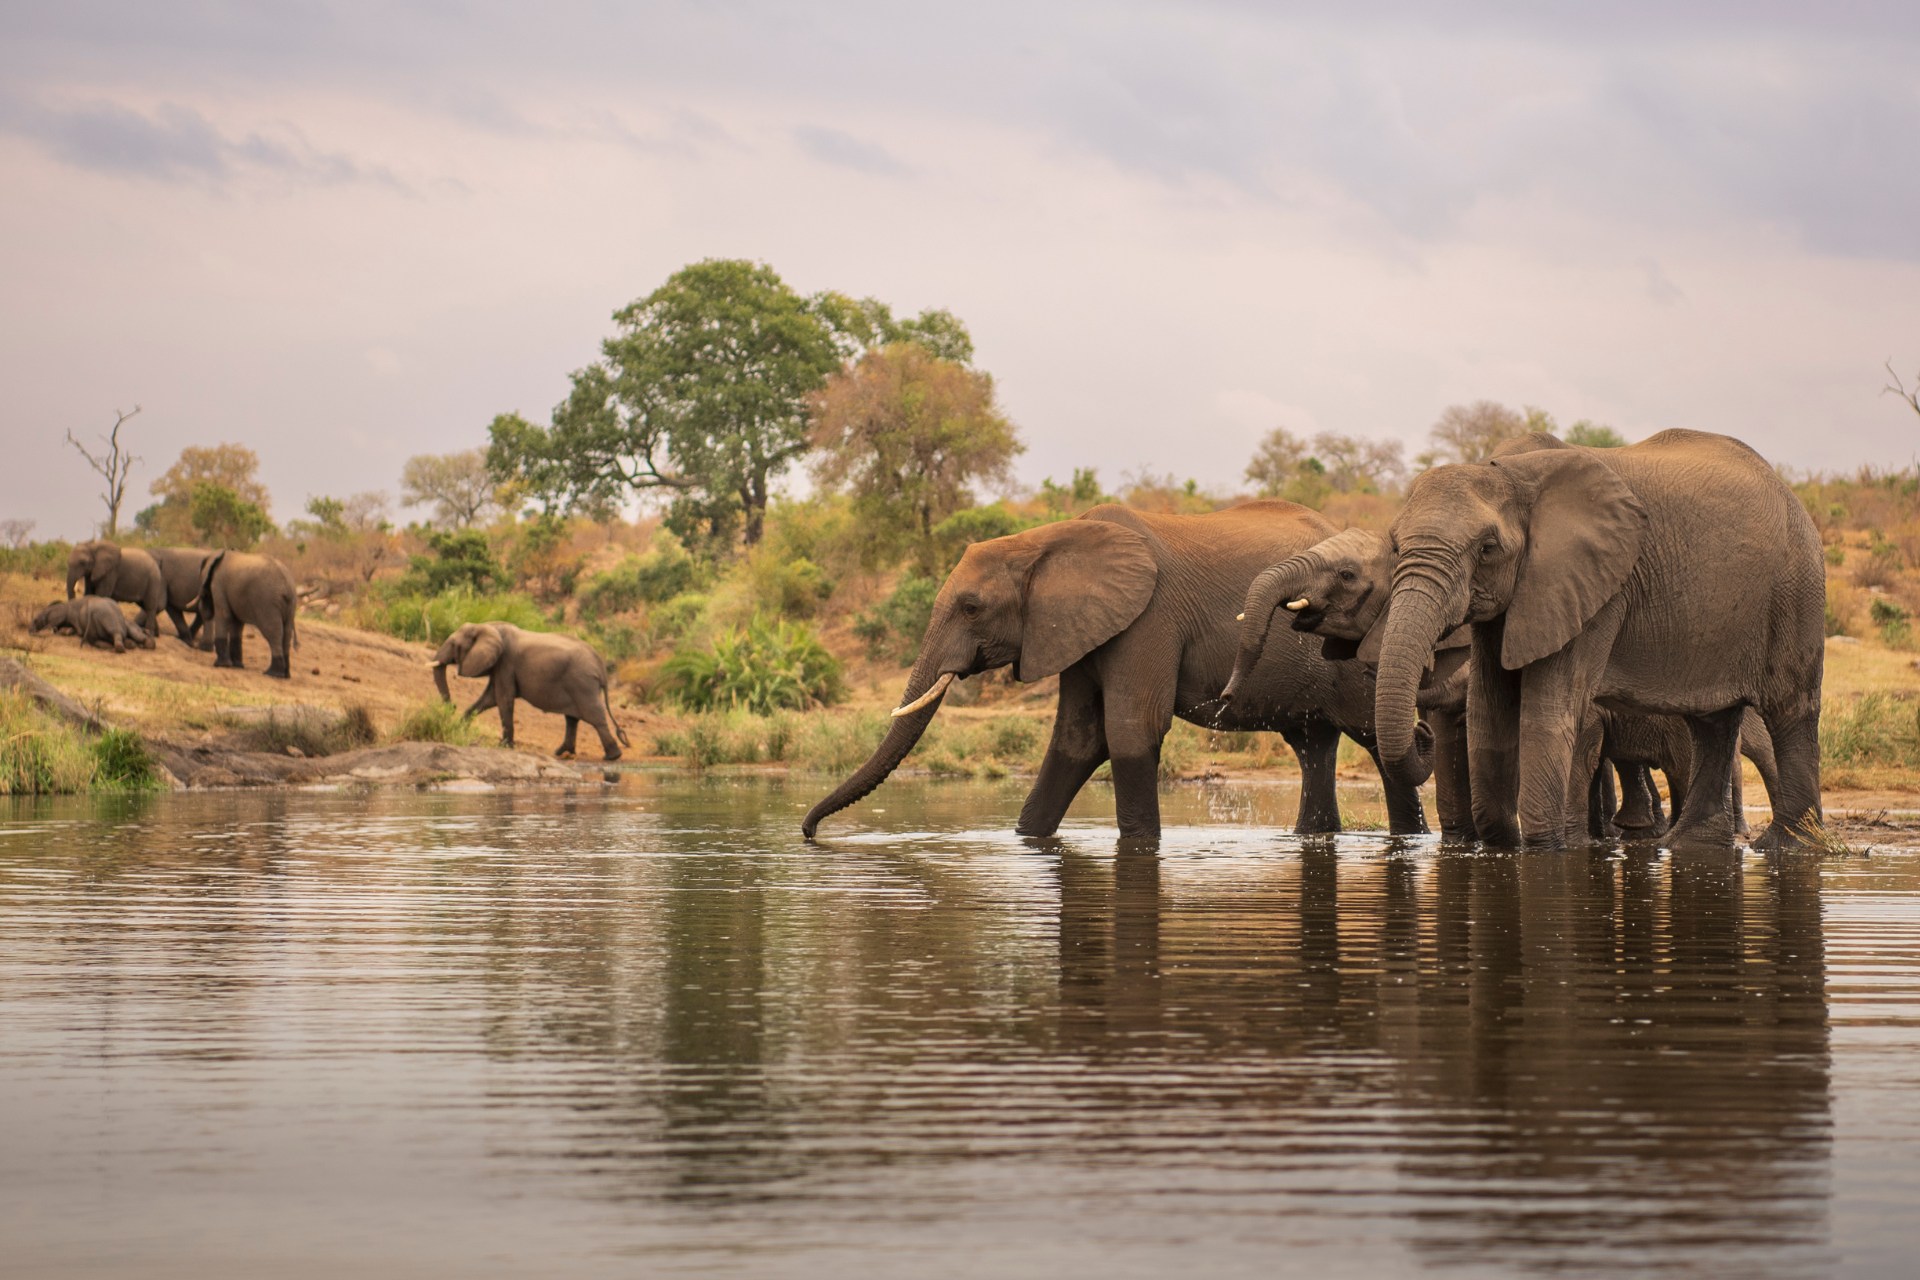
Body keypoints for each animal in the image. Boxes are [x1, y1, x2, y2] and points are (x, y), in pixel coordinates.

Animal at [430, 623, 630, 760]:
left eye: (453, 644)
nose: (451, 706)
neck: (486, 625)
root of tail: (601, 666)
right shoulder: (499, 666)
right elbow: (490, 698)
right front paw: (460, 728)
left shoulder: (505, 663)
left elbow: (503, 699)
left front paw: (504, 747)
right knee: (572, 718)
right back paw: (561, 752)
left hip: (583, 683)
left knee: (595, 717)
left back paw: (612, 757)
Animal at [802, 501, 1434, 843]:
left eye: (972, 607)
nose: (807, 831)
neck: (1048, 538)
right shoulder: (1077, 630)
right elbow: (1077, 740)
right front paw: (1026, 839)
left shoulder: (1147, 617)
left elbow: (1130, 731)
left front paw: (1137, 844)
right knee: (1312, 747)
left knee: (1380, 742)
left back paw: (1412, 837)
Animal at [1365, 428, 1823, 849]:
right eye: (1396, 546)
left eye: (1487, 548)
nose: (1422, 732)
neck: (1510, 472)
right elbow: (1489, 708)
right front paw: (1505, 846)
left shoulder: (1594, 588)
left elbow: (1549, 710)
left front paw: (1548, 849)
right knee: (1712, 721)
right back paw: (1690, 845)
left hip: (1795, 586)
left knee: (1790, 708)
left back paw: (1788, 844)